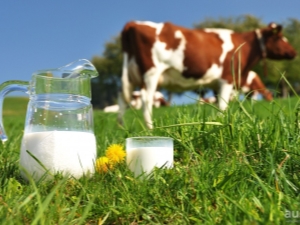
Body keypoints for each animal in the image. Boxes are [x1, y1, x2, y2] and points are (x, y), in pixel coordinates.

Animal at [117, 20, 296, 128]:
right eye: (280, 37)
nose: (293, 52)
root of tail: (132, 23)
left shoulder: (217, 84)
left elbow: (218, 104)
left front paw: (217, 122)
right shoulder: (227, 78)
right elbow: (223, 105)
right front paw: (222, 123)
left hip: (131, 75)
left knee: (123, 99)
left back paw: (122, 128)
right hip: (151, 74)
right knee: (146, 99)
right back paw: (150, 128)